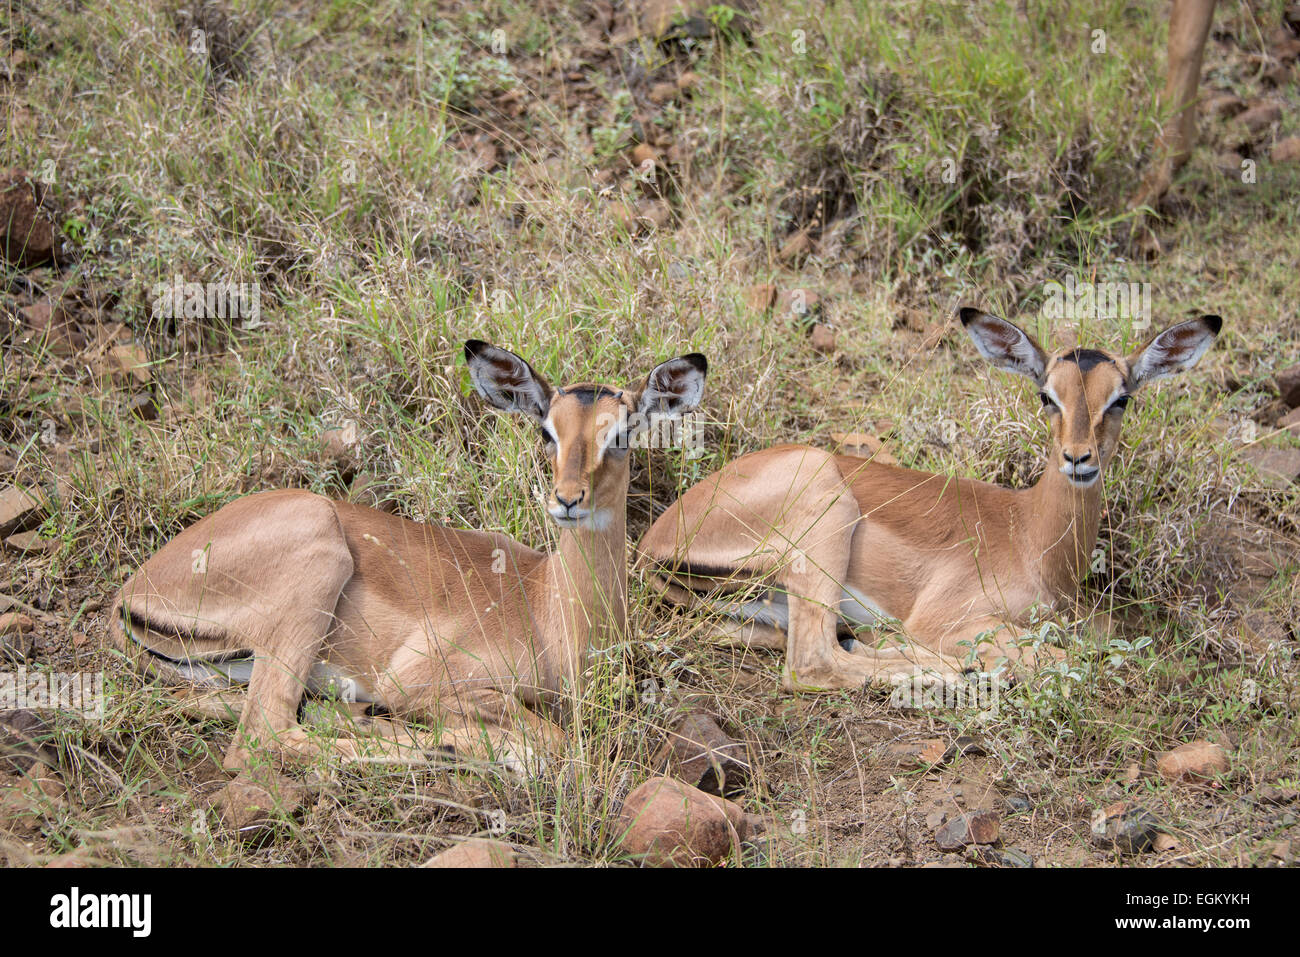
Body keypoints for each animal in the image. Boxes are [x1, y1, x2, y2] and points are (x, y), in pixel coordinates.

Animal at [110, 340, 708, 773]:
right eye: (546, 430)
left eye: (622, 433)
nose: (567, 499)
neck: (546, 605)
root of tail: (131, 593)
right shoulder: (422, 681)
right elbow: (549, 737)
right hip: (318, 569)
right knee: (262, 737)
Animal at [638, 309, 1221, 693]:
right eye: (1046, 395)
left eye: (1121, 398)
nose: (1079, 459)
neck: (1031, 536)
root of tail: (655, 540)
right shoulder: (944, 619)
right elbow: (1050, 653)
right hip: (825, 522)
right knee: (814, 663)